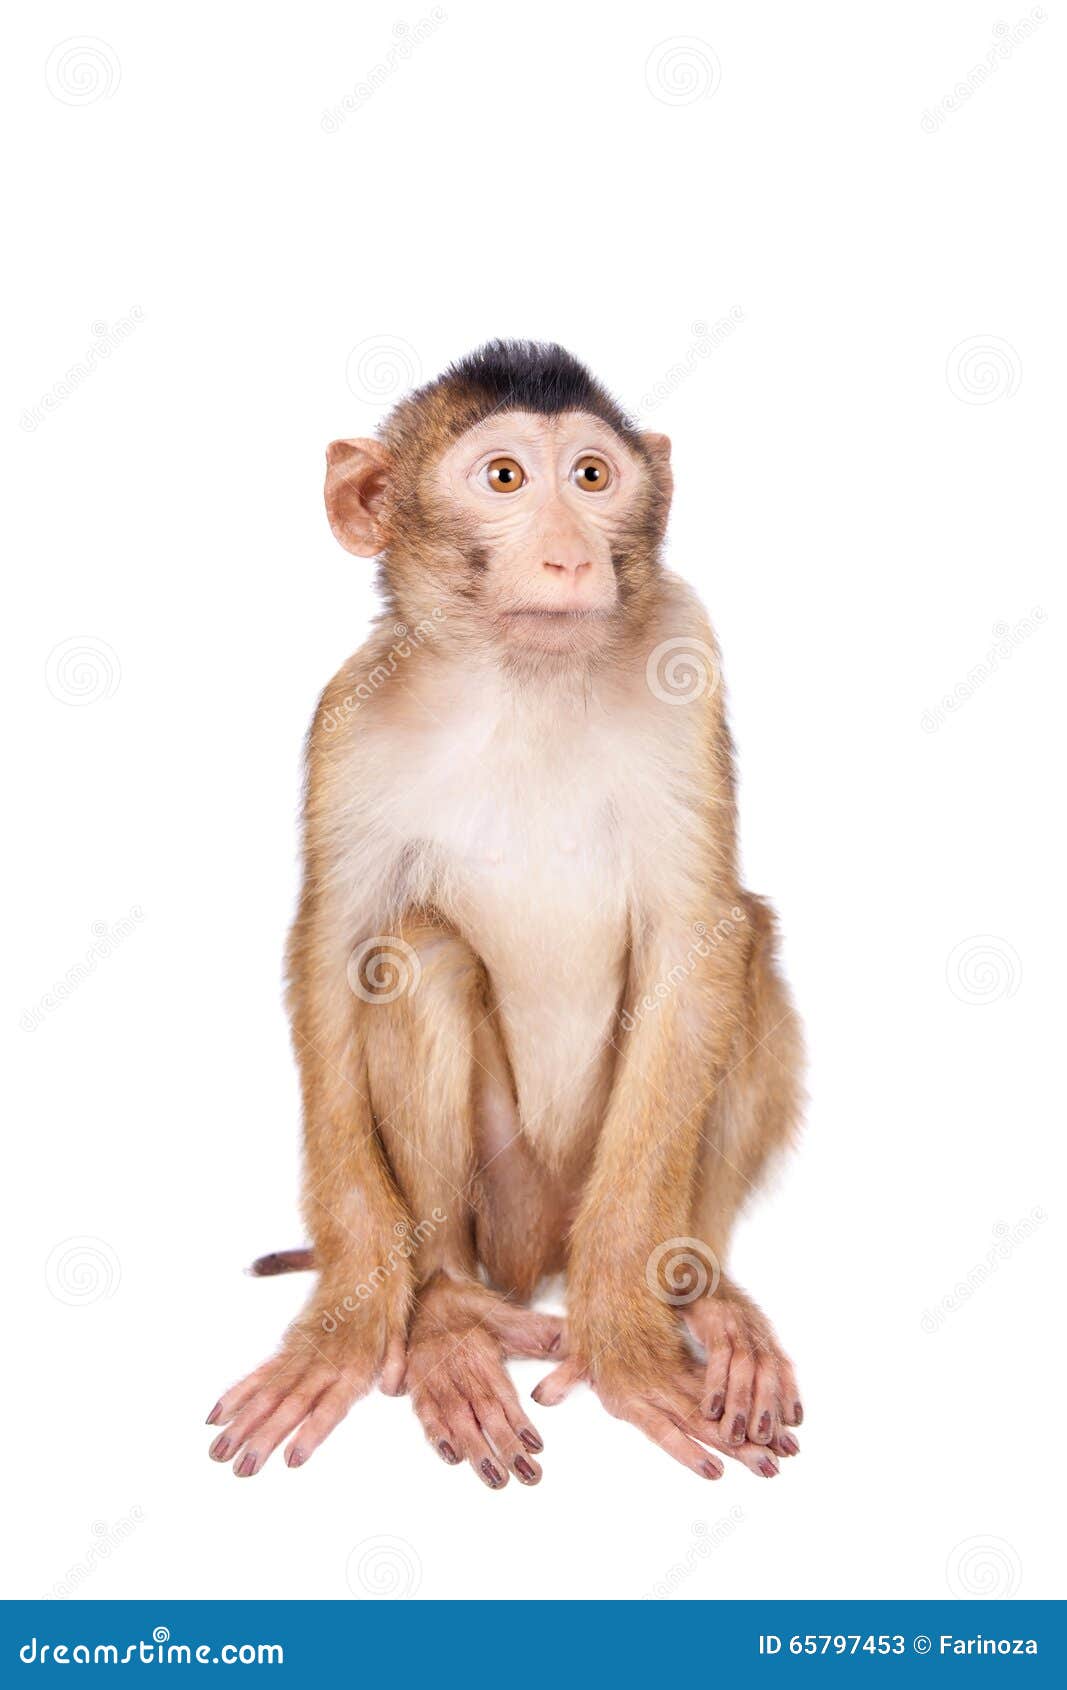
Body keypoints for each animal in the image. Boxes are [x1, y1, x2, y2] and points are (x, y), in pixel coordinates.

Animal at [205, 340, 804, 1490]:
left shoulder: (686, 650)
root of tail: (532, 1263)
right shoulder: (345, 717)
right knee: (412, 955)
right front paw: (348, 1320)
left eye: (590, 476)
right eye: (503, 479)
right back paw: (446, 1311)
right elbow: (333, 949)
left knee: (743, 948)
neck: (523, 676)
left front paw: (627, 1339)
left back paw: (700, 1295)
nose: (569, 559)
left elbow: (697, 938)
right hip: (508, 1201)